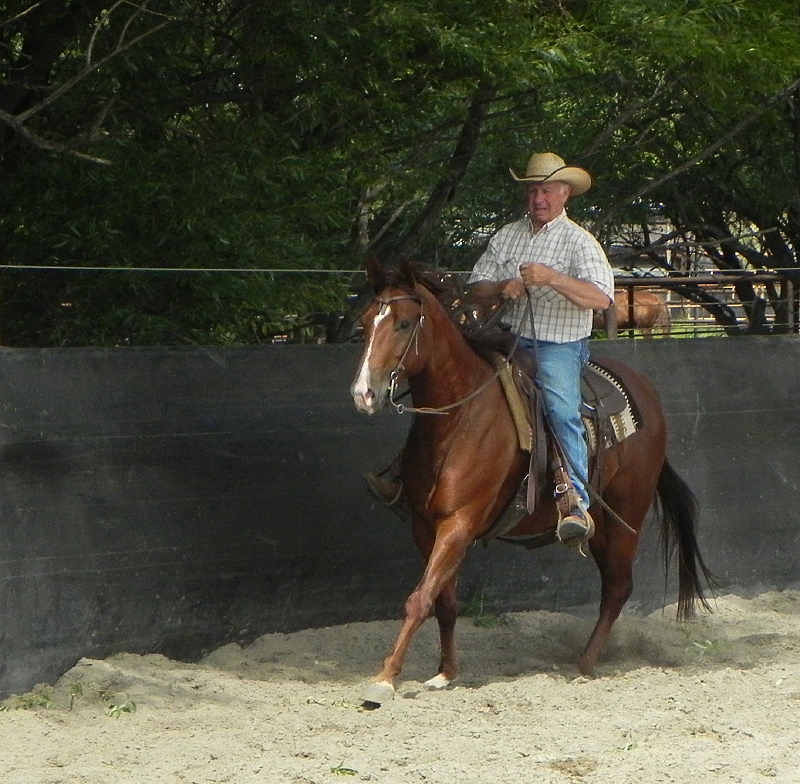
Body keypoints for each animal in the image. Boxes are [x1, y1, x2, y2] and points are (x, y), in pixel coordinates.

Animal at [351, 259, 713, 706]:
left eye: (403, 323)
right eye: (366, 321)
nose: (364, 394)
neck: (460, 419)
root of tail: (647, 394)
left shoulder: (459, 524)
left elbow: (419, 599)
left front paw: (384, 678)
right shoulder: (425, 525)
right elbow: (443, 600)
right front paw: (445, 673)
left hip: (629, 510)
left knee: (617, 586)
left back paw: (585, 663)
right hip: (601, 523)